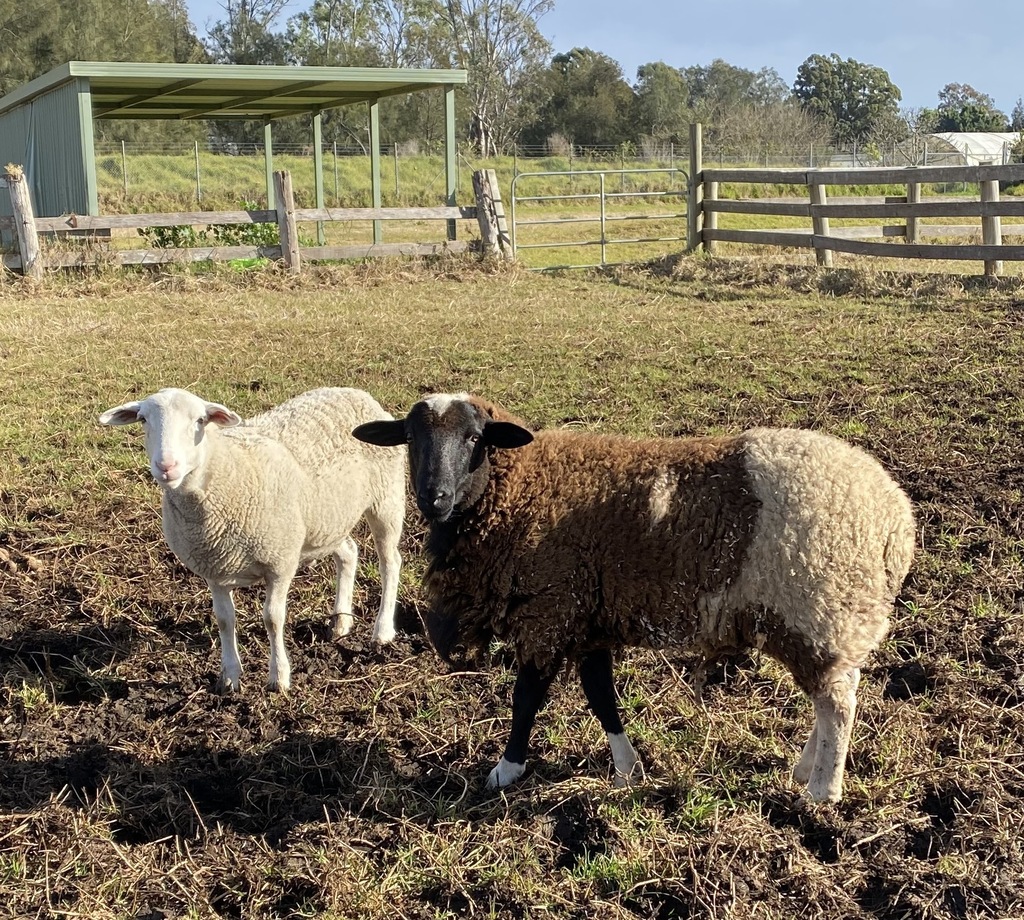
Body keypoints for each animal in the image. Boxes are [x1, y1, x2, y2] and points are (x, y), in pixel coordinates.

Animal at [100, 386, 406, 693]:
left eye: (200, 420)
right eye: (142, 419)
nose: (166, 465)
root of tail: (355, 393)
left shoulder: (279, 563)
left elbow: (272, 618)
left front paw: (279, 677)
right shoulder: (214, 569)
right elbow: (224, 620)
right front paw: (229, 678)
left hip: (387, 498)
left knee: (390, 562)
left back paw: (382, 631)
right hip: (326, 518)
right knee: (349, 553)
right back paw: (341, 623)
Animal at [353, 392, 916, 803]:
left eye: (474, 438)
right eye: (409, 438)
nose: (434, 498)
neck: (523, 487)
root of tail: (896, 518)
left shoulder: (548, 610)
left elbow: (526, 696)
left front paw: (506, 770)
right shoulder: (585, 614)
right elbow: (601, 694)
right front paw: (628, 770)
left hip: (820, 610)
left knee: (838, 705)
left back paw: (822, 790)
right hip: (823, 620)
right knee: (832, 698)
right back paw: (804, 770)